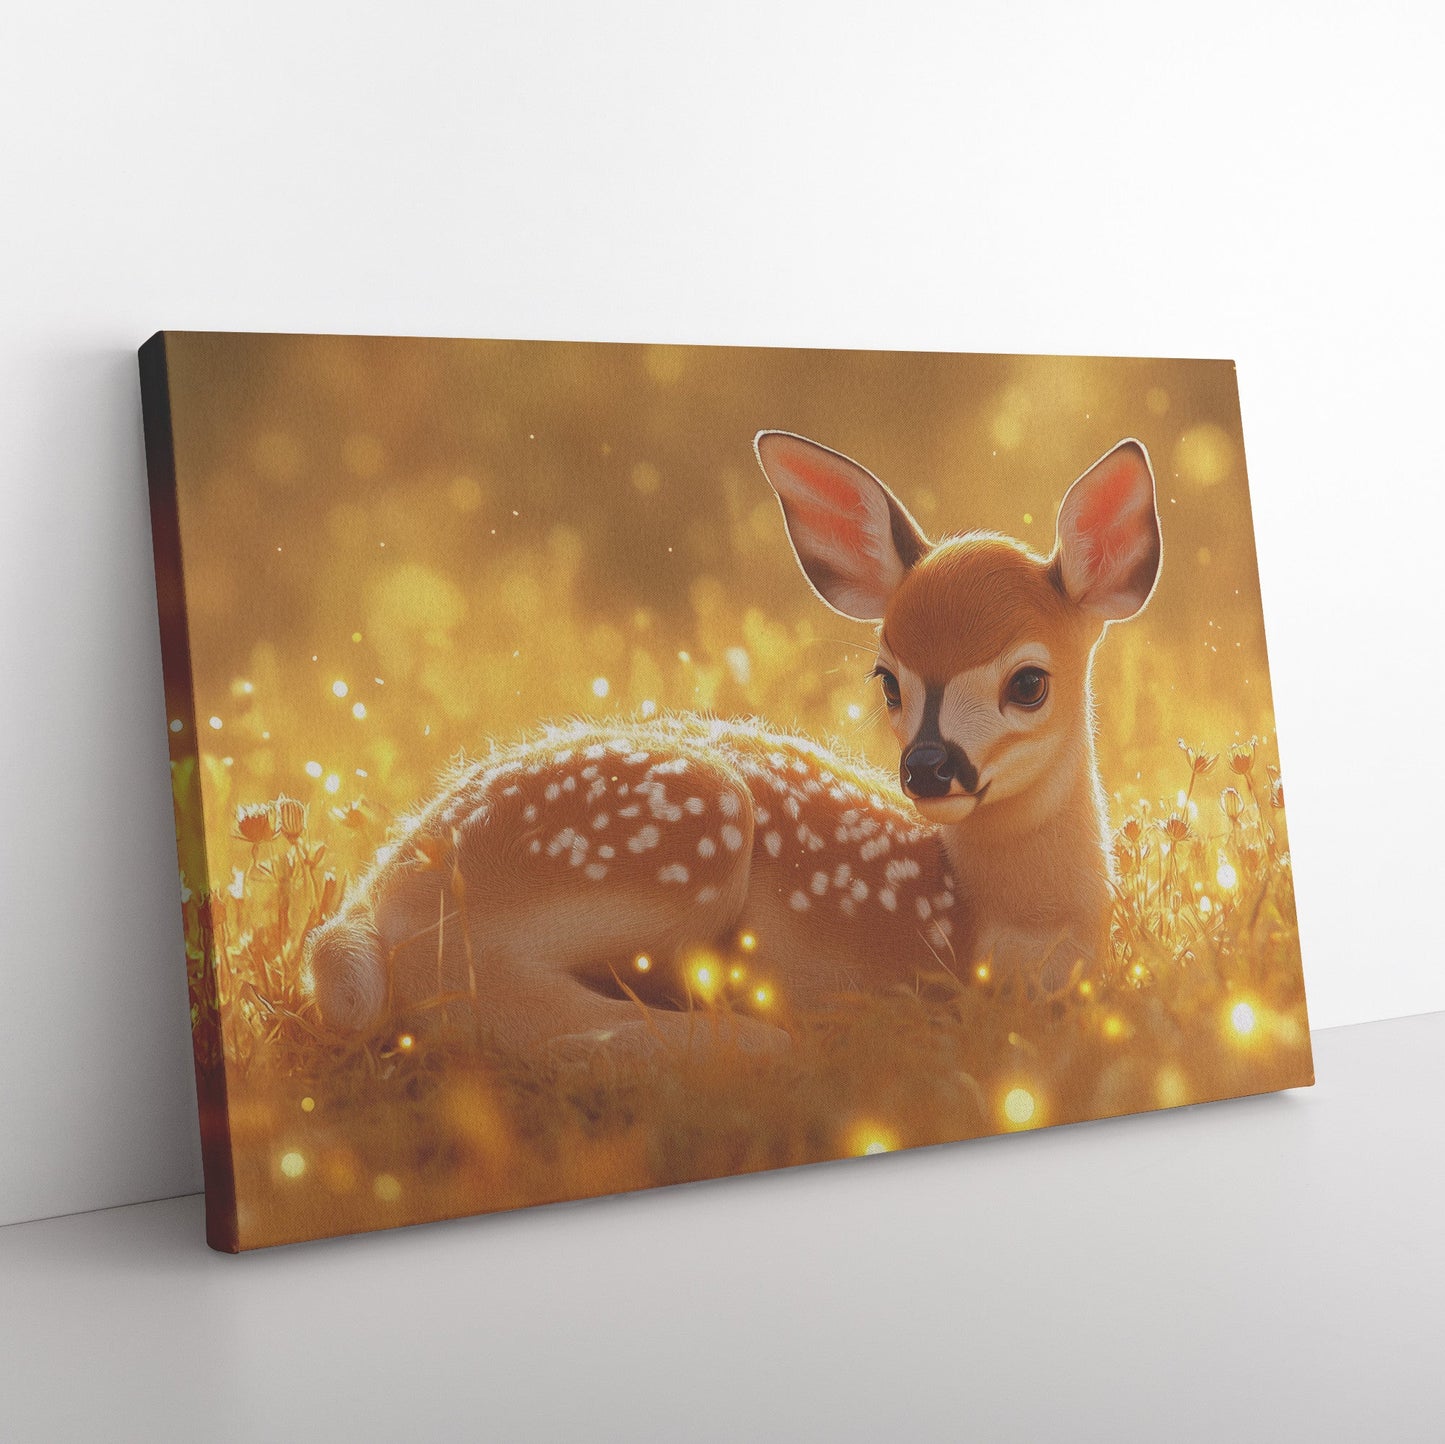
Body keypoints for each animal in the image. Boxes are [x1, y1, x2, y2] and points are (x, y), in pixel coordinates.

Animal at [307, 431, 1162, 1054]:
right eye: (886, 680)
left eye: (1028, 682)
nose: (926, 770)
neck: (1003, 926)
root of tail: (380, 892)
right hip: (687, 832)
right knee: (474, 992)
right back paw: (743, 1044)